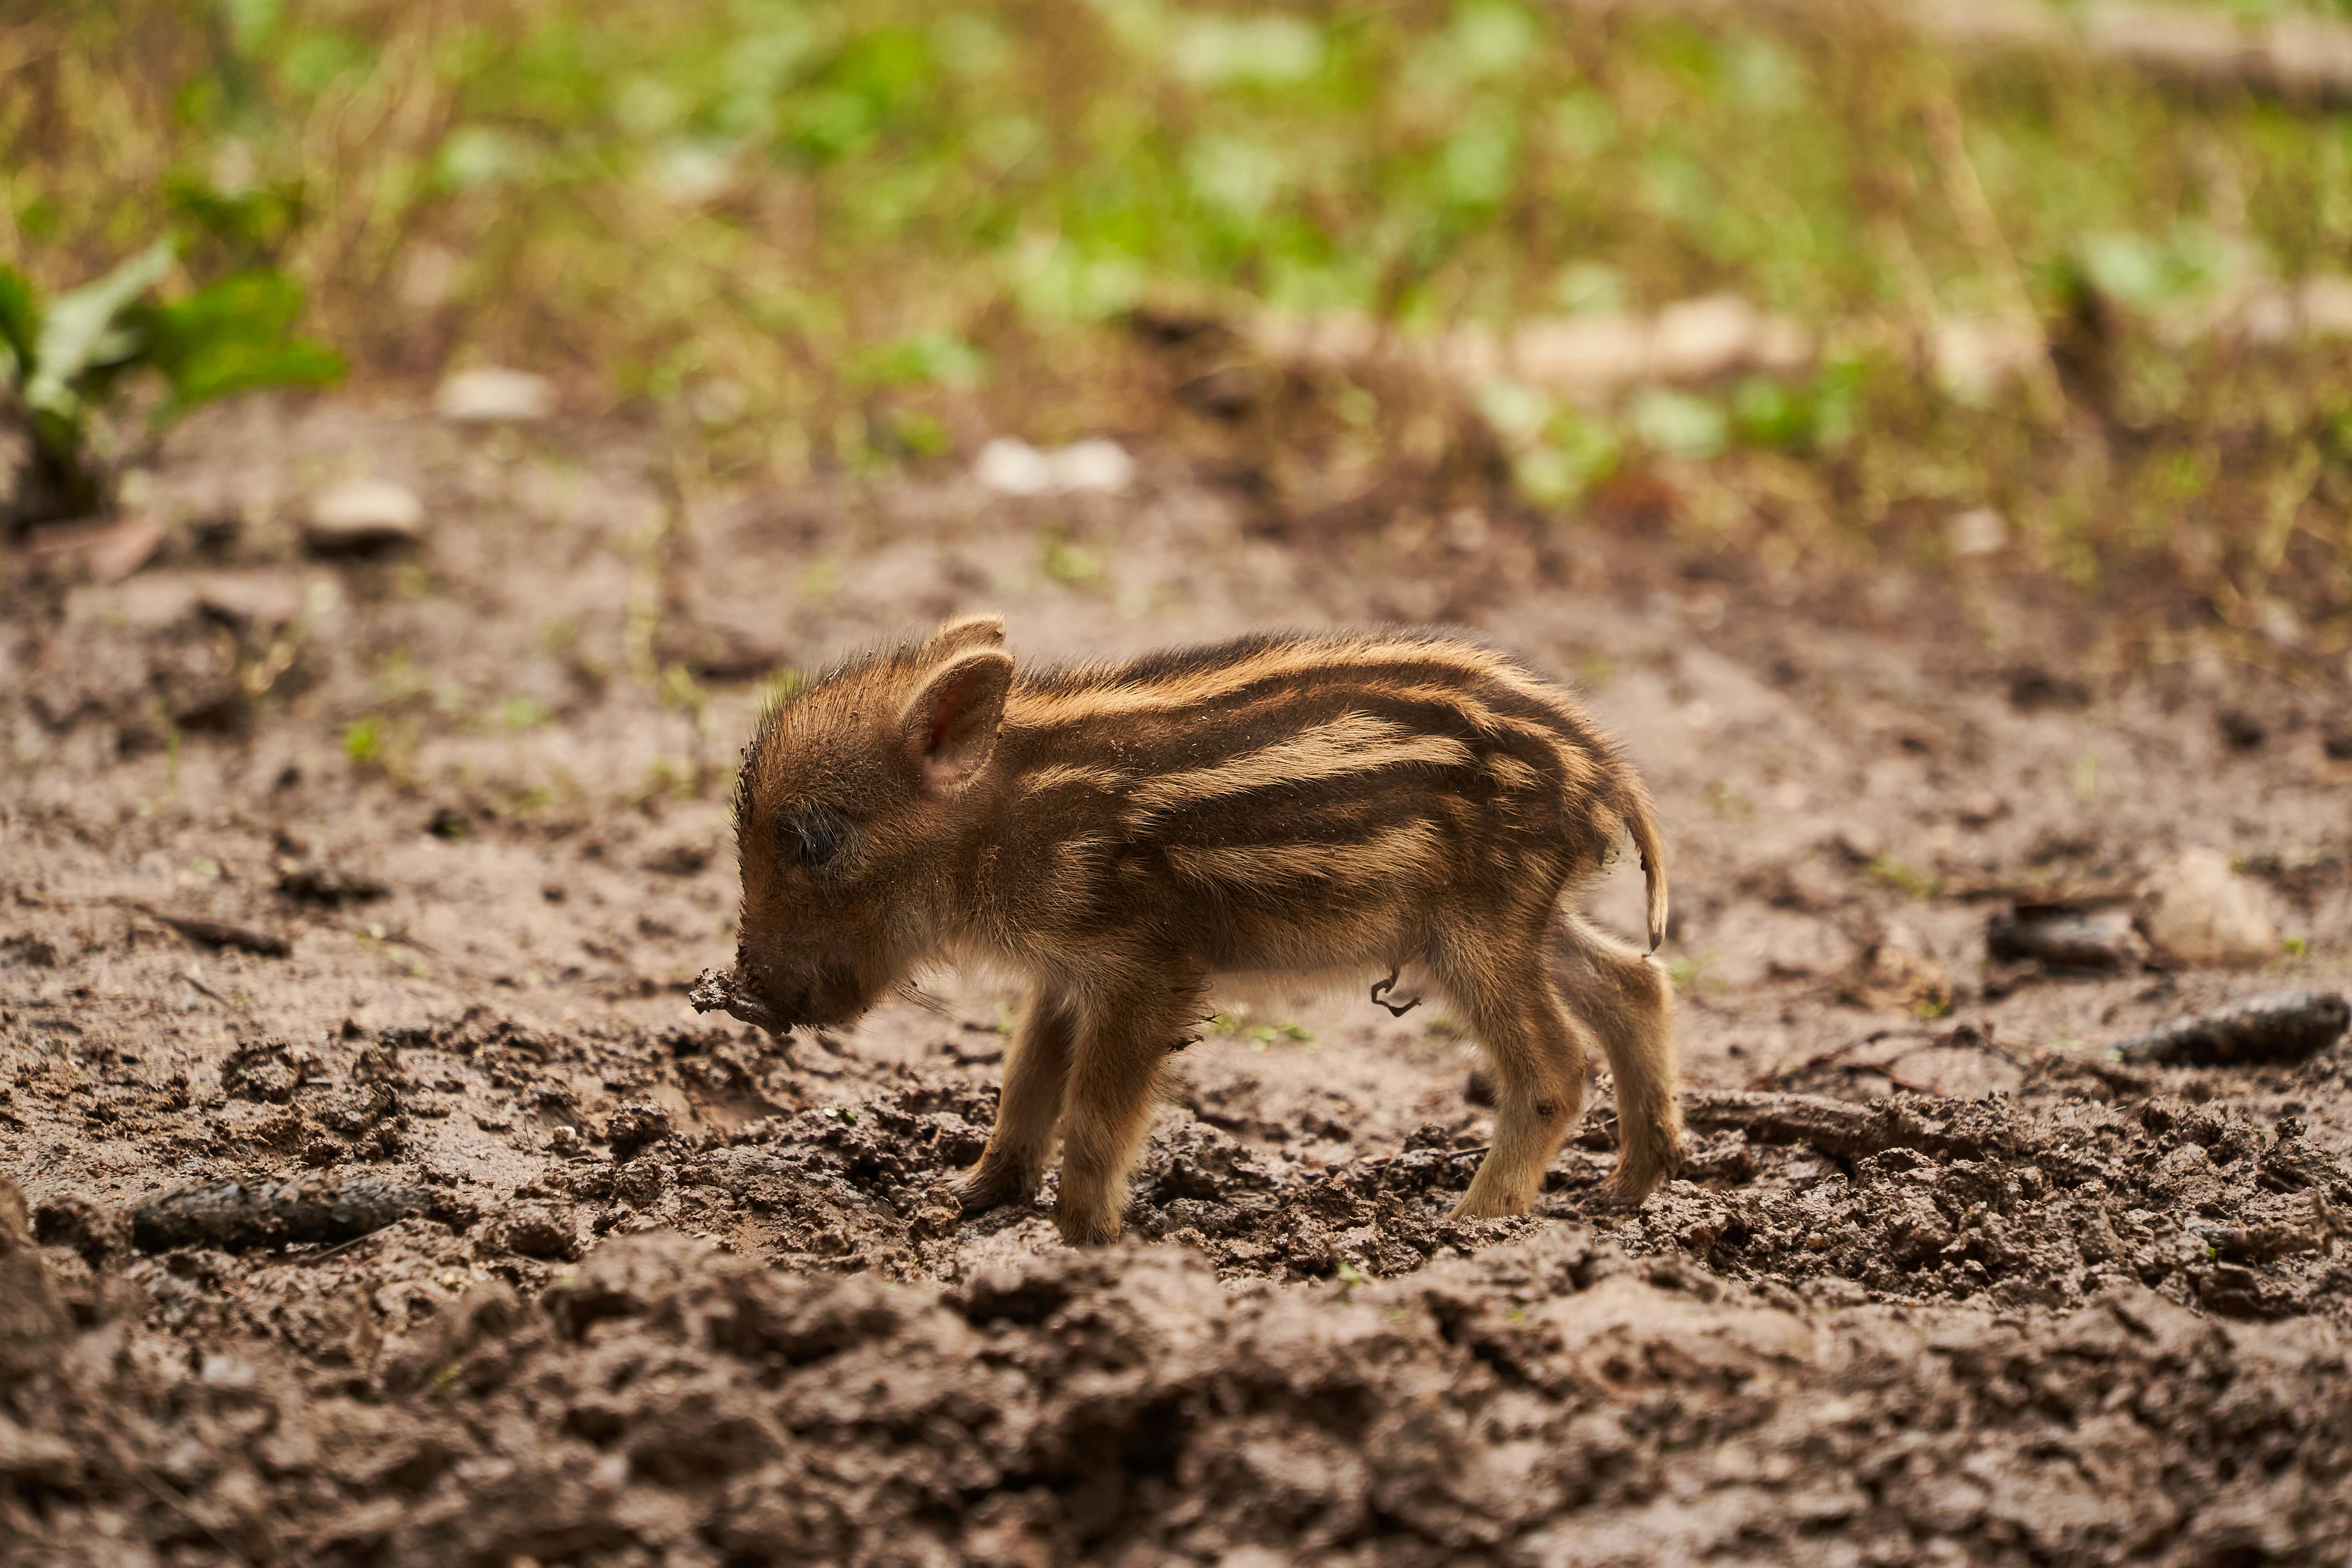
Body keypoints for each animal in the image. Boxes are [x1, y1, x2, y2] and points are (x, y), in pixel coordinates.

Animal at [712, 614, 1681, 1245]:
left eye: (812, 838)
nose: (744, 990)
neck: (1004, 818)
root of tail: (1602, 769)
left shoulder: (1148, 963)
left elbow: (1095, 1111)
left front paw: (1086, 1239)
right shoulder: (1067, 969)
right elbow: (1024, 1084)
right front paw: (966, 1198)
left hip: (1478, 926)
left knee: (1554, 1066)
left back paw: (1469, 1225)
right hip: (1524, 915)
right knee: (1633, 983)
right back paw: (1623, 1193)